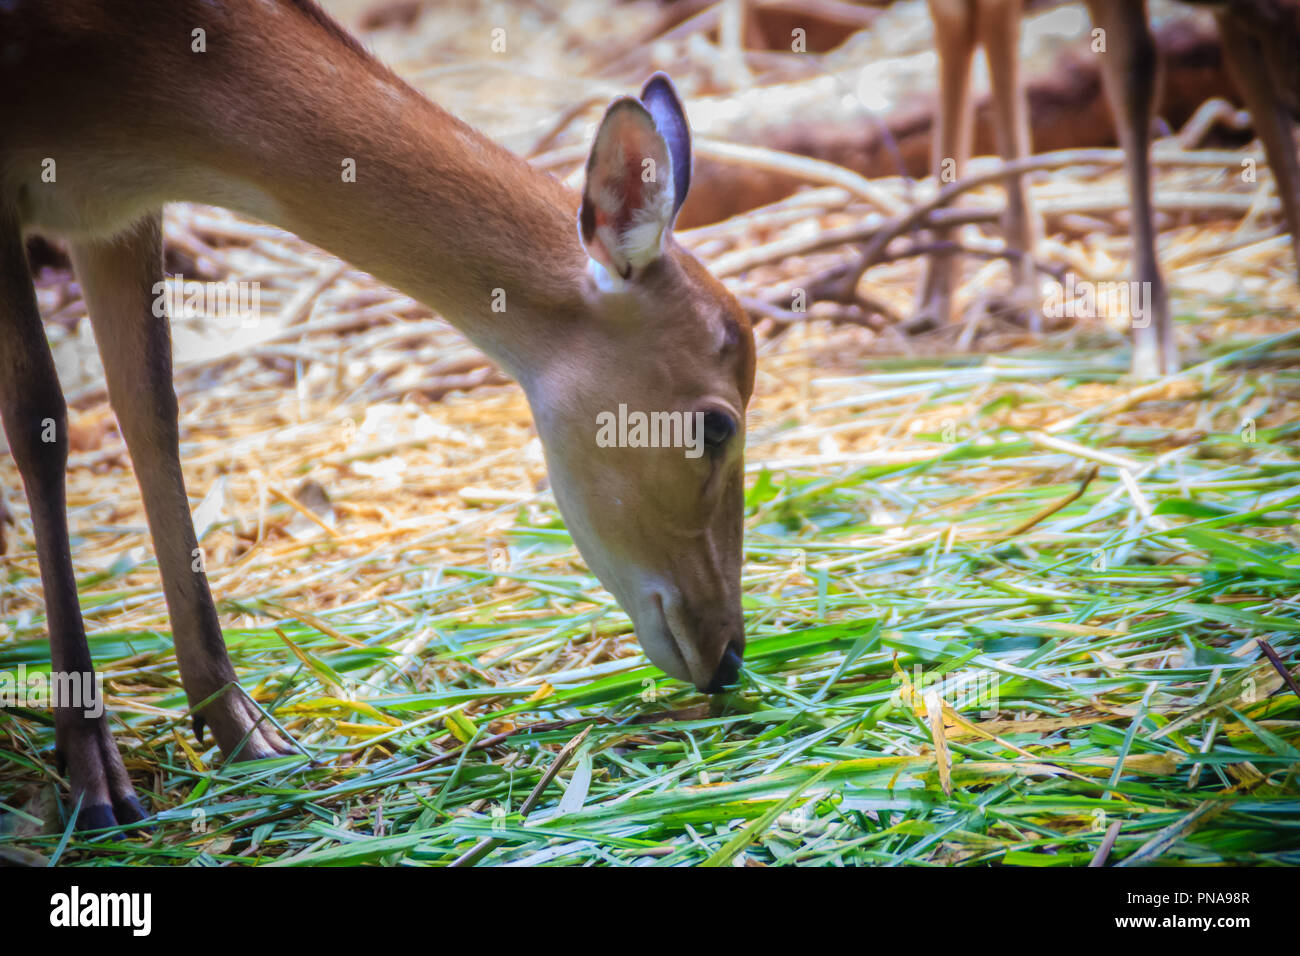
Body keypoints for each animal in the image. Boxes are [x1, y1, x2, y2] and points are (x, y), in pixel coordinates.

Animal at [0, 0, 755, 829]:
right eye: (716, 423)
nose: (729, 656)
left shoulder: (117, 215)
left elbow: (153, 409)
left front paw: (247, 729)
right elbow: (39, 417)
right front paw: (93, 772)